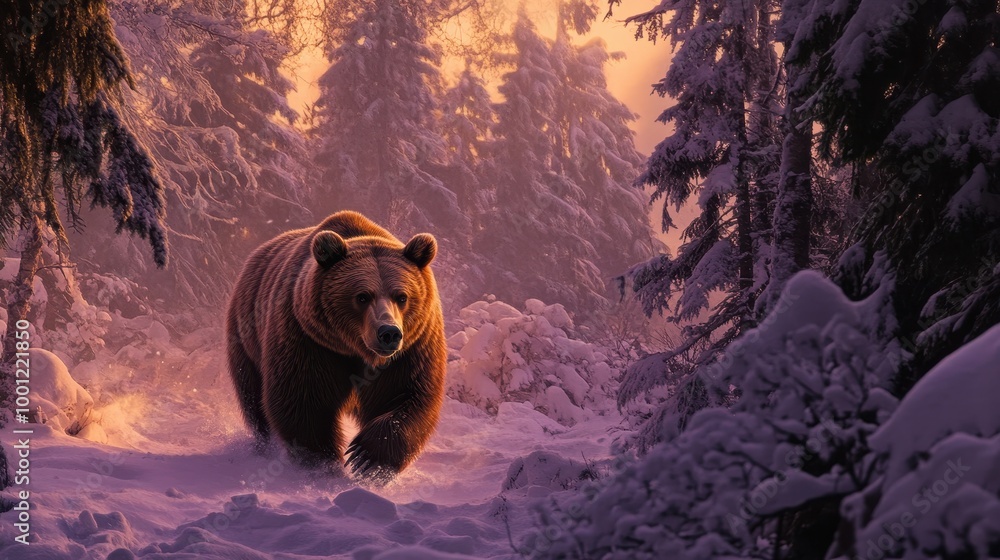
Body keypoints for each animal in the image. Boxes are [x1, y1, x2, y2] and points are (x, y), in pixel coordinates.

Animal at [225, 210, 447, 482]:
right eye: (362, 296)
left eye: (402, 296)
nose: (389, 333)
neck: (356, 350)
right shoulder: (309, 339)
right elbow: (303, 399)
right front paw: (324, 462)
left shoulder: (412, 348)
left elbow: (408, 395)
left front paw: (368, 460)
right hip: (246, 335)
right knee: (254, 398)